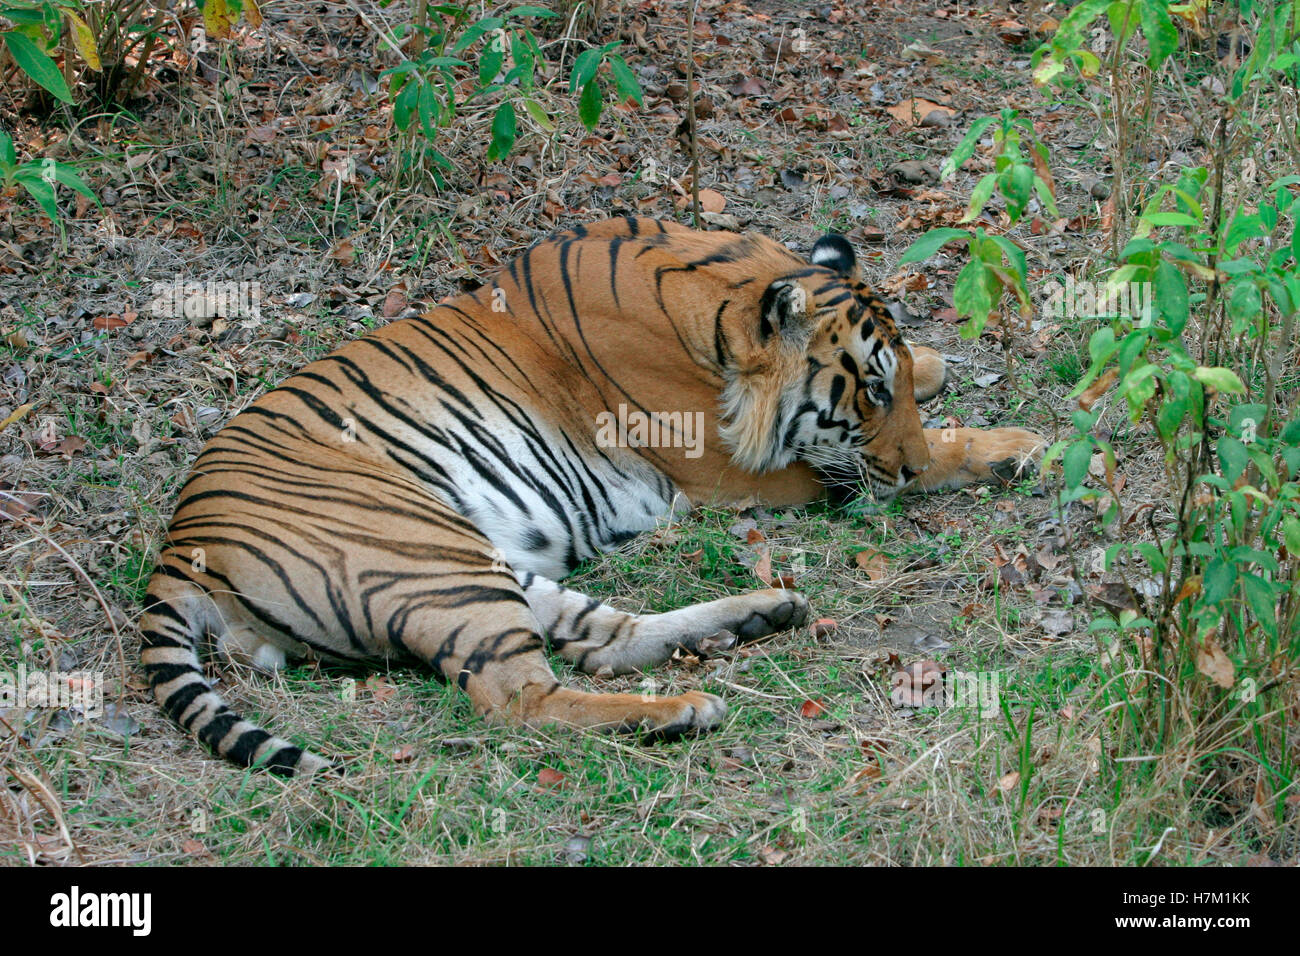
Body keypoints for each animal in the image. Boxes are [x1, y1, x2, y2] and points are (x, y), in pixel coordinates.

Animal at [138, 217, 1044, 775]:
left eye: (894, 385)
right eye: (871, 391)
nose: (903, 462)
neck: (721, 300)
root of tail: (177, 548)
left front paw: (942, 369)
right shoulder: (727, 469)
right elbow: (893, 461)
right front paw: (1008, 447)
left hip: (476, 565)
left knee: (602, 640)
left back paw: (760, 613)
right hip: (430, 553)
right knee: (521, 699)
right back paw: (682, 710)